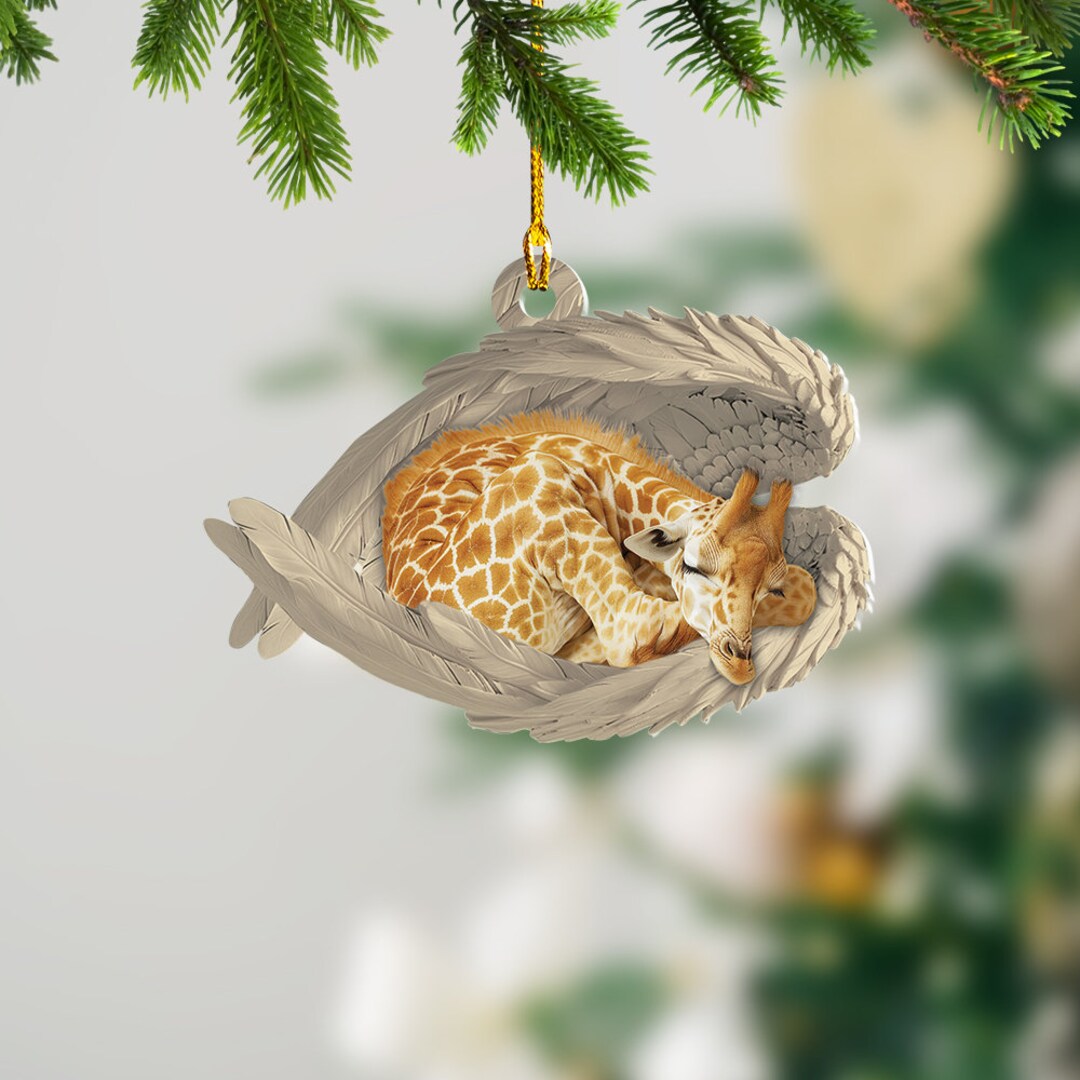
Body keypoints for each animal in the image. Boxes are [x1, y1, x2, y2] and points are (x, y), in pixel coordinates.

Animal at [382, 411, 816, 685]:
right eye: (693, 566)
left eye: (768, 589)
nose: (739, 665)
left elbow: (807, 590)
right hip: (536, 476)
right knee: (629, 633)